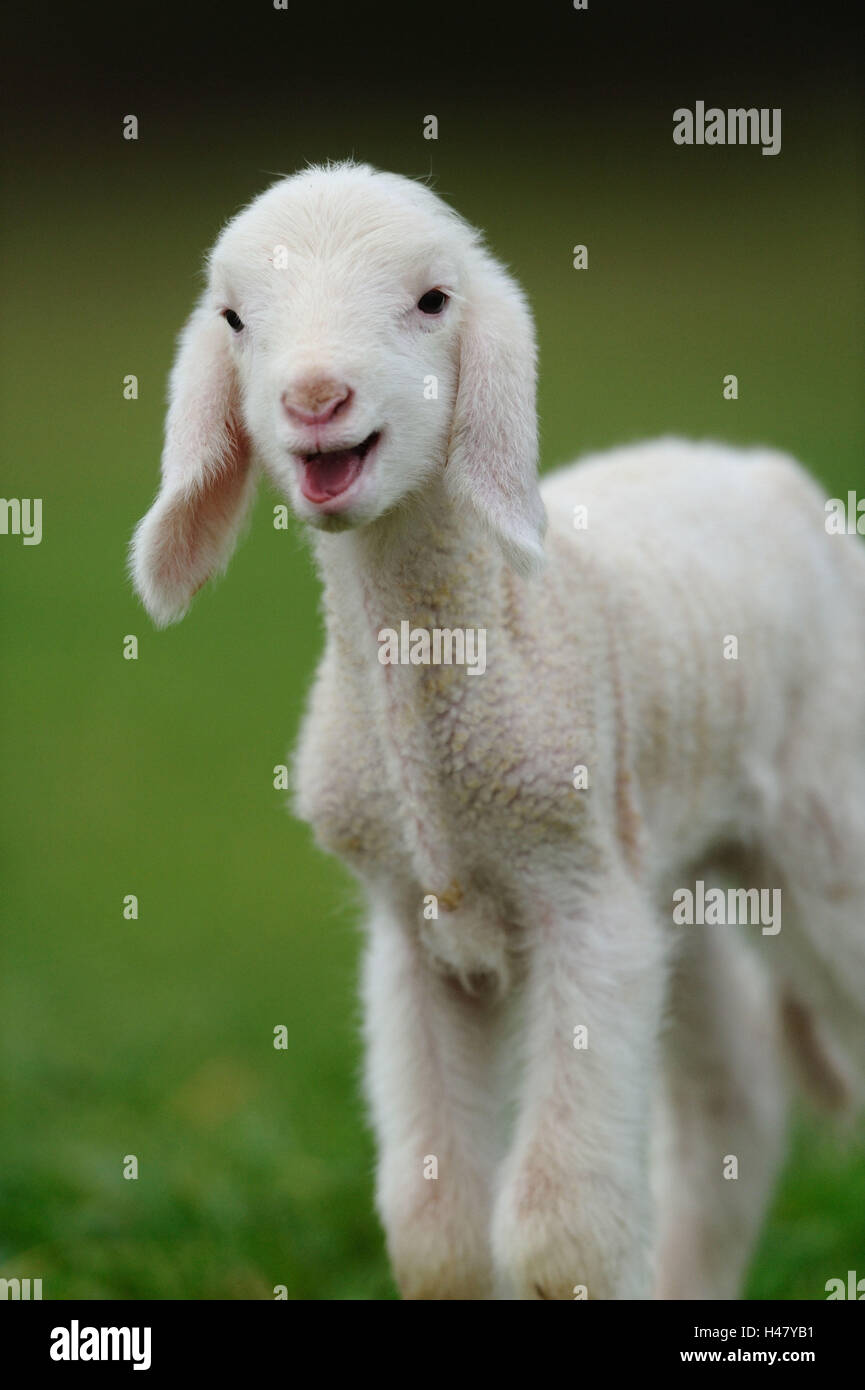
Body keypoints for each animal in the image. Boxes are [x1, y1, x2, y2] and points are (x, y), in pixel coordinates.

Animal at [130, 161, 865, 1300]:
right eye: (235, 319)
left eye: (434, 302)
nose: (315, 401)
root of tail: (752, 467)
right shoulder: (412, 924)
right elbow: (437, 1233)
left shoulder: (579, 895)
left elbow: (561, 1236)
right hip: (671, 854)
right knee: (728, 1106)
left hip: (824, 810)